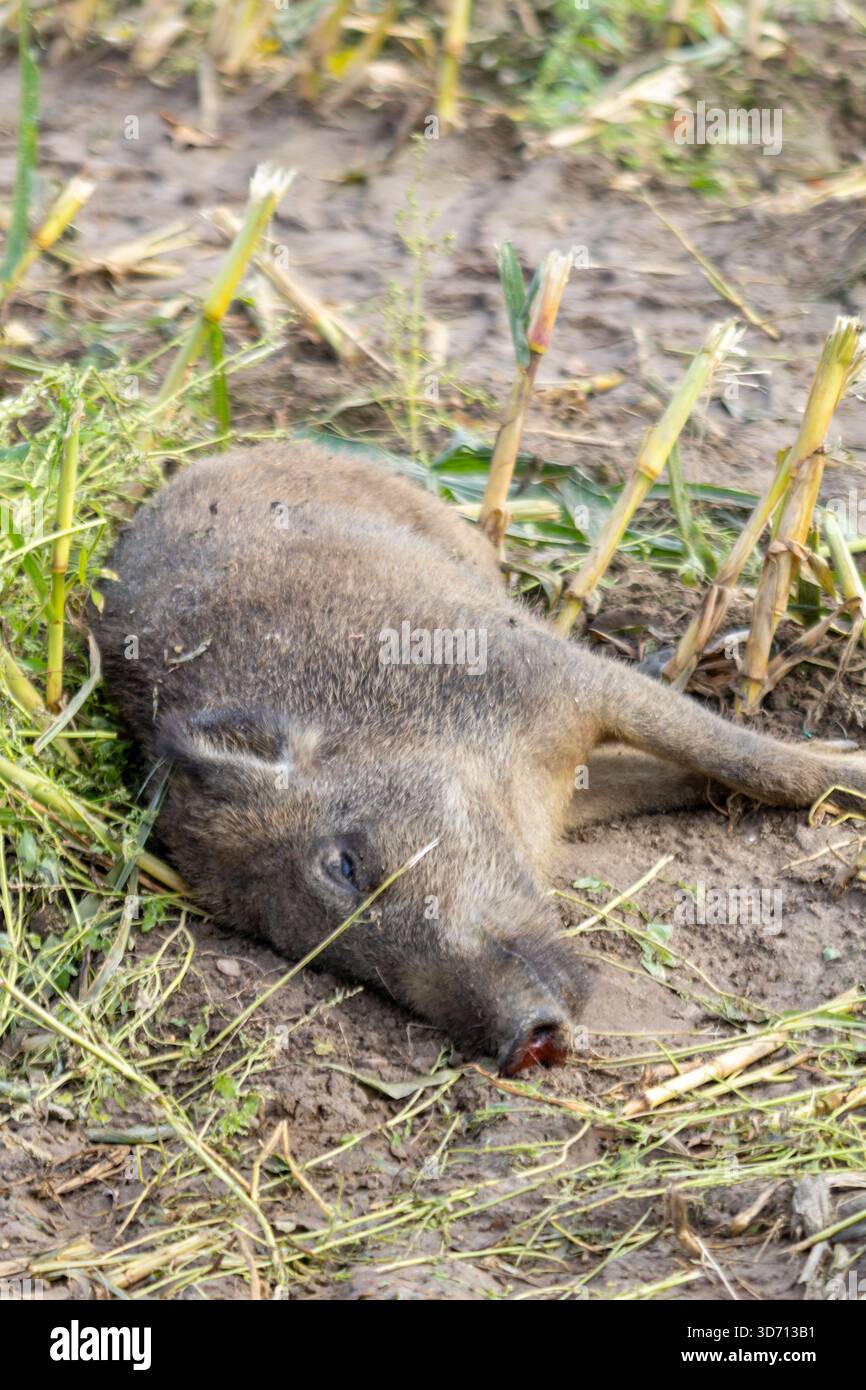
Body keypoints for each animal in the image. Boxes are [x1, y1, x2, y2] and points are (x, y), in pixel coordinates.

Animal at [92, 441, 866, 1076]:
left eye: (344, 865)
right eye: (310, 952)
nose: (522, 1042)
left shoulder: (568, 678)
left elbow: (750, 760)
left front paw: (843, 765)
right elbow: (696, 775)